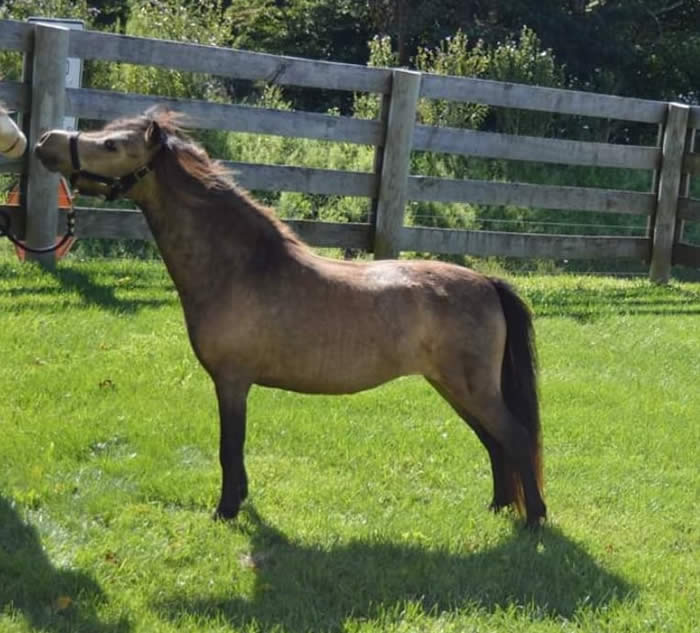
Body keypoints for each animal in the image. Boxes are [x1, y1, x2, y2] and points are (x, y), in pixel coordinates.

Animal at [34, 108, 547, 528]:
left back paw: (535, 520)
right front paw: (238, 503)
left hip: (471, 388)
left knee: (516, 439)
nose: (45, 142)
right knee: (494, 442)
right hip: (454, 388)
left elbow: (230, 448)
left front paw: (226, 510)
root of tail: (487, 283)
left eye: (111, 145)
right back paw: (498, 506)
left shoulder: (232, 382)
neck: (239, 268)